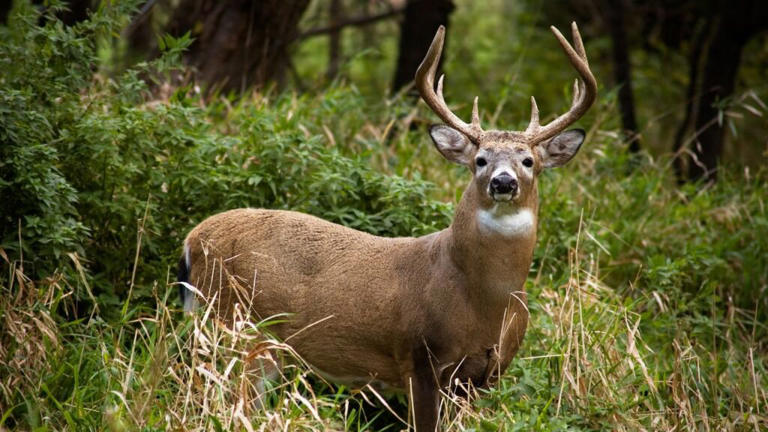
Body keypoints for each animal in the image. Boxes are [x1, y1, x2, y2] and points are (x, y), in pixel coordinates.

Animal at [178, 22, 596, 431]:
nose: (503, 182)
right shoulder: (419, 357)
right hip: (235, 323)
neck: (484, 300)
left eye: (528, 161)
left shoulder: (487, 374)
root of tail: (192, 239)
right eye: (480, 160)